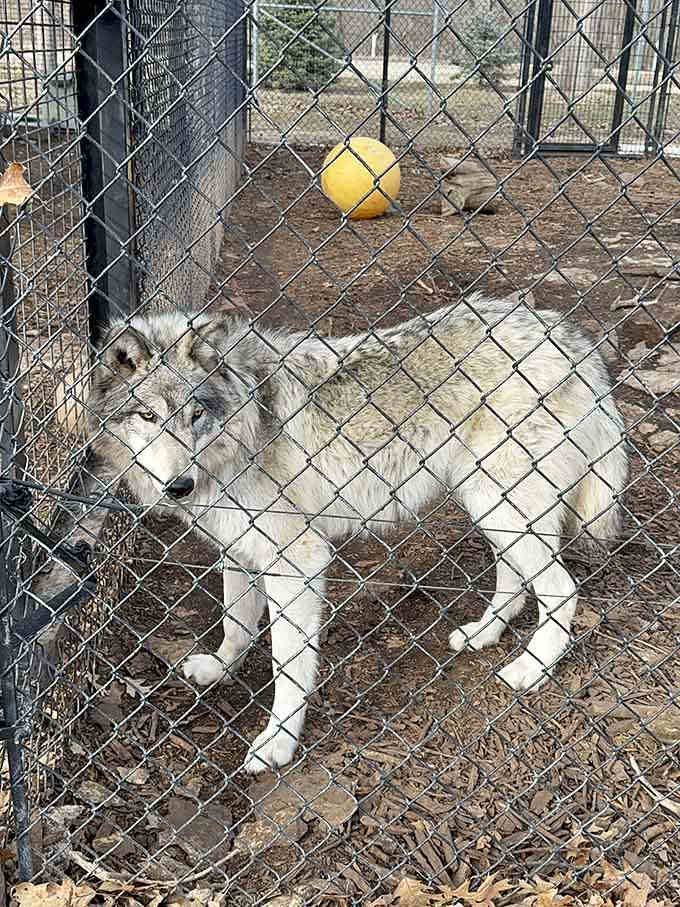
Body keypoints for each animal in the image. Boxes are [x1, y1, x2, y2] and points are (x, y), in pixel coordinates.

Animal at [88, 295, 628, 773]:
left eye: (195, 415)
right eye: (148, 416)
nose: (180, 486)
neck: (245, 426)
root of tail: (572, 338)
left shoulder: (297, 561)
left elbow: (287, 666)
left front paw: (277, 744)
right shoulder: (240, 551)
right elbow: (235, 623)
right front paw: (221, 668)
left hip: (502, 504)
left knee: (562, 590)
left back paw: (531, 669)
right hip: (490, 505)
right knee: (516, 580)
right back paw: (482, 634)